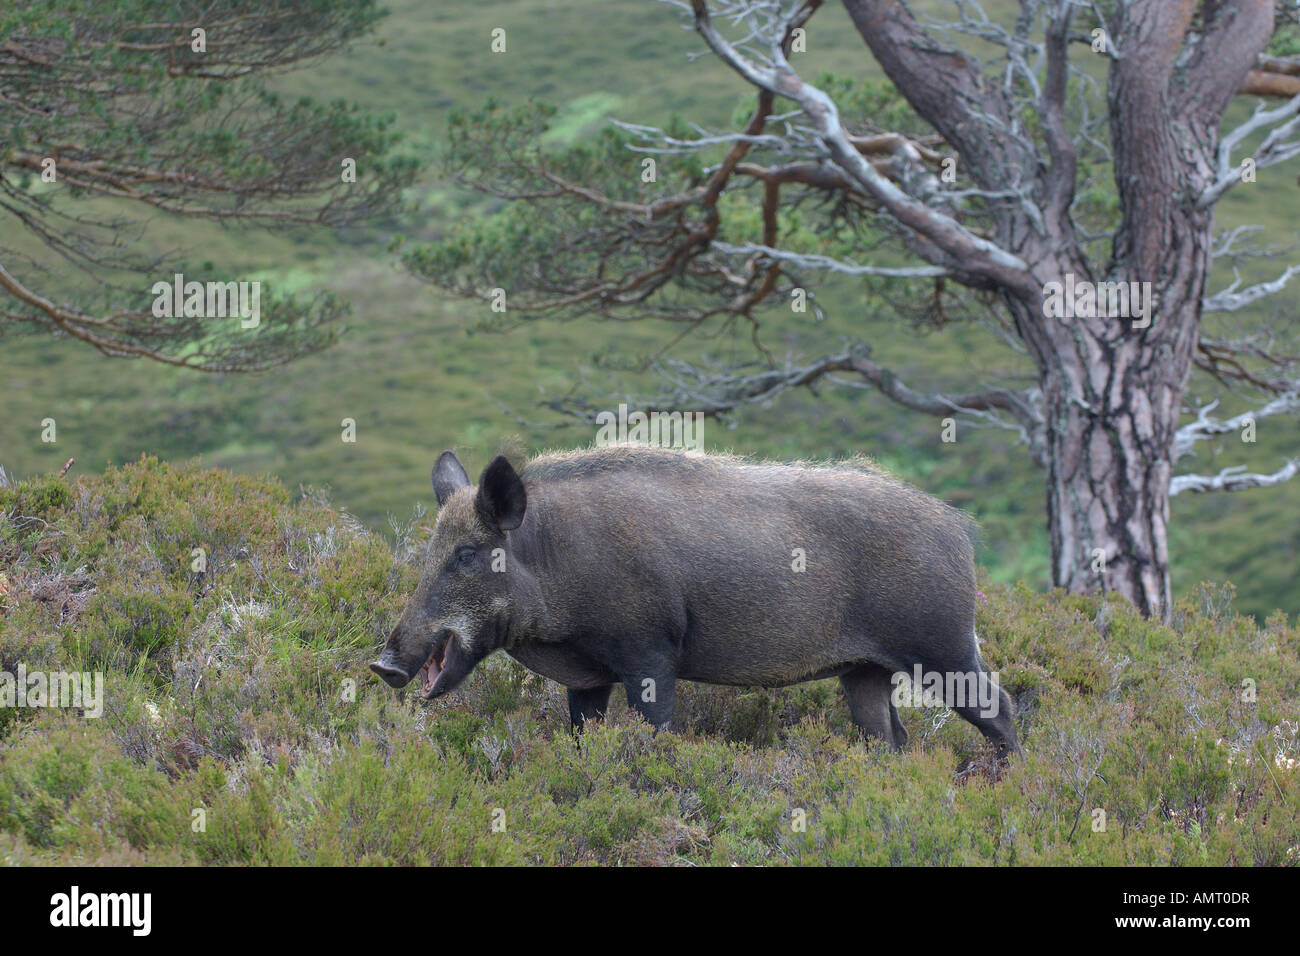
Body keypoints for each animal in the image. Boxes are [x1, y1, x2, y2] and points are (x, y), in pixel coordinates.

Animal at [370, 446, 1019, 755]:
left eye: (466, 554)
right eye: (431, 549)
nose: (382, 664)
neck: (557, 560)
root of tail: (959, 532)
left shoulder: (651, 651)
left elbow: (659, 730)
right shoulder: (589, 676)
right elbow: (582, 735)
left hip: (943, 645)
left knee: (1003, 708)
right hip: (864, 670)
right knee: (890, 739)